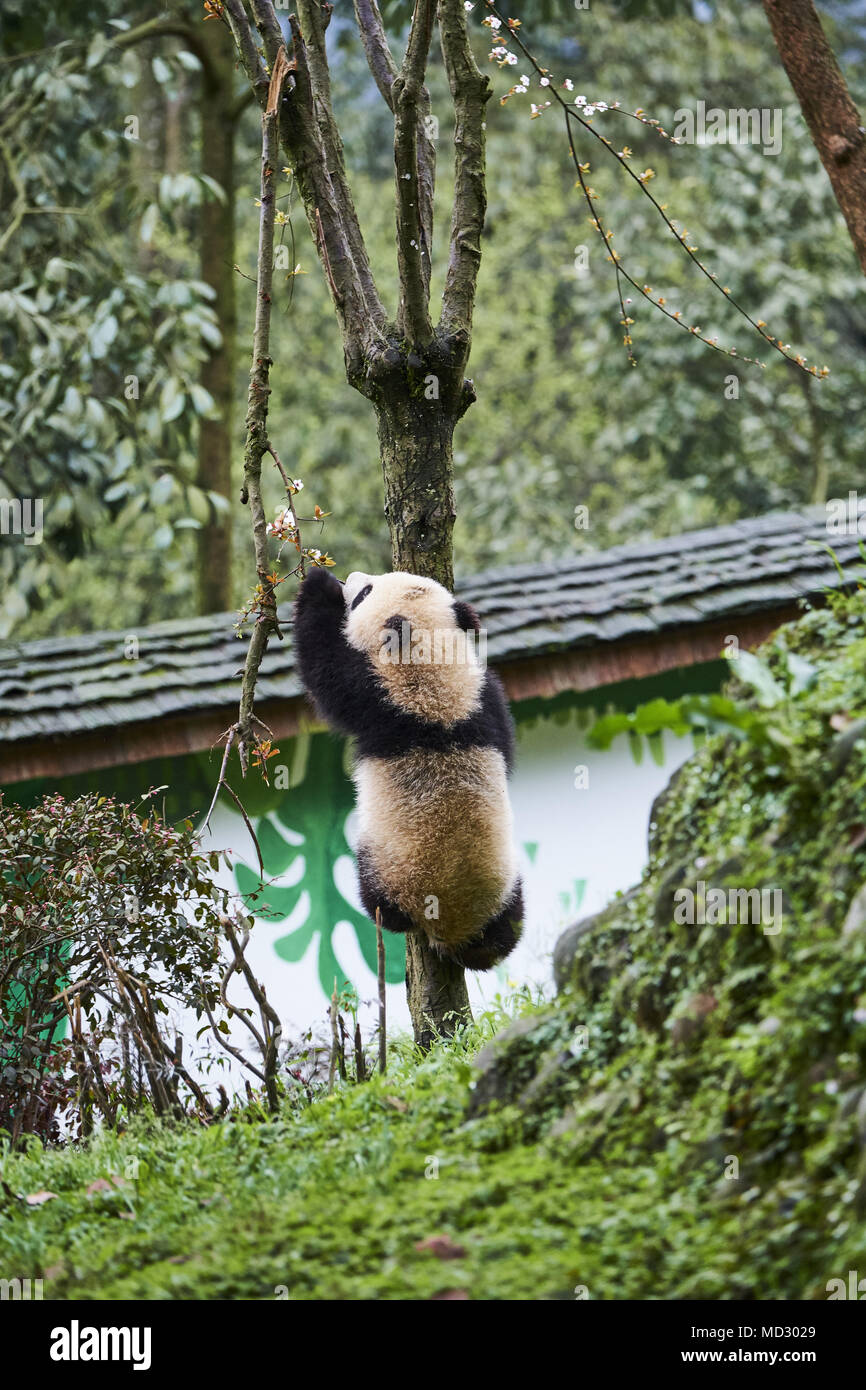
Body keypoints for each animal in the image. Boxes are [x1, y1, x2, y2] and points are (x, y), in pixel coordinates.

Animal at [292, 564, 524, 970]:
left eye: (365, 594)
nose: (351, 576)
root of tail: (454, 925)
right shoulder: (486, 701)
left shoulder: (379, 696)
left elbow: (325, 667)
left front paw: (318, 585)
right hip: (508, 889)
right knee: (506, 932)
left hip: (386, 868)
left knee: (379, 904)